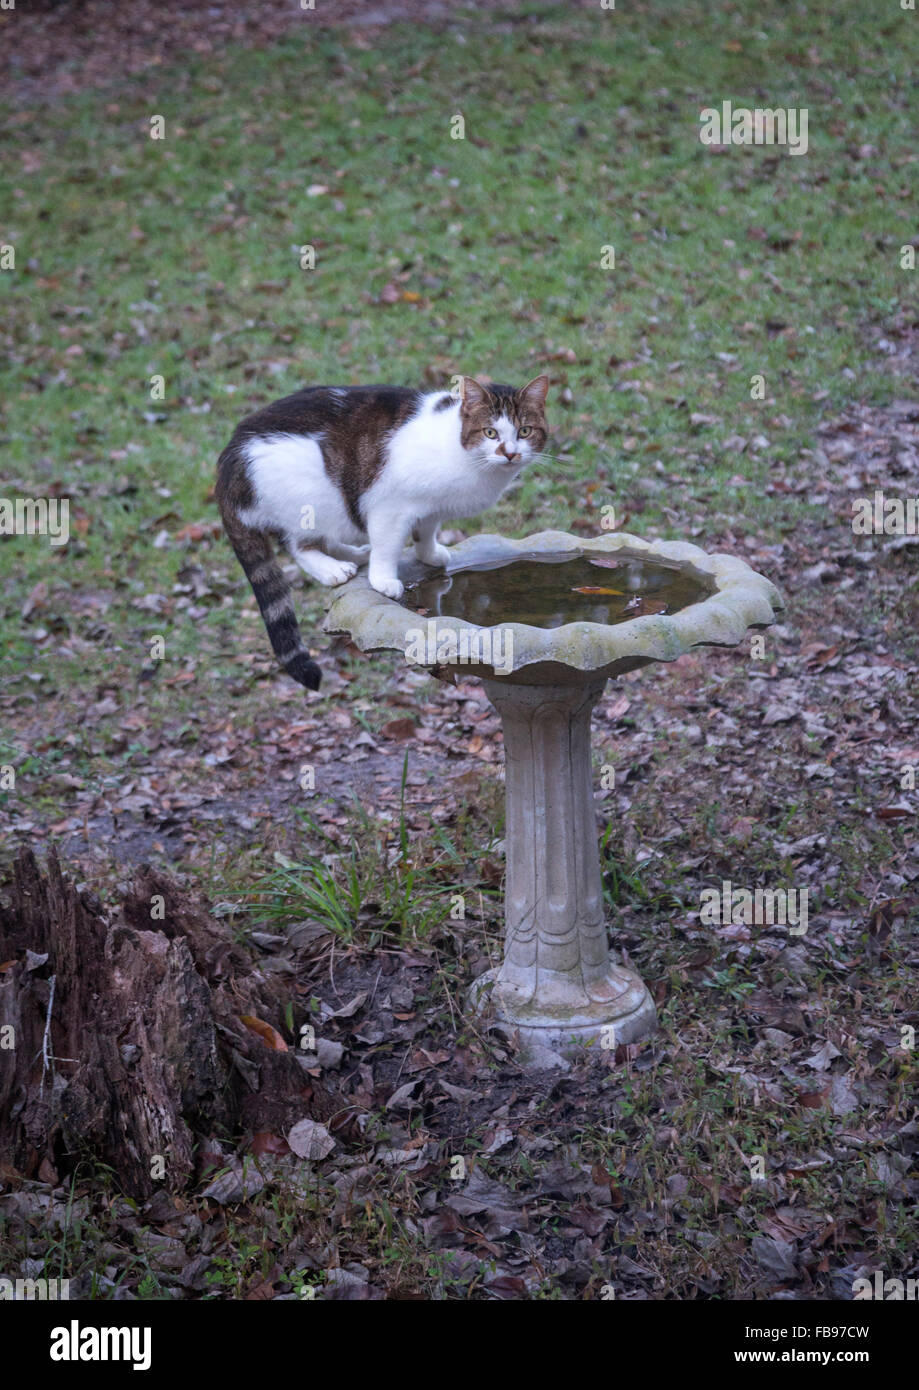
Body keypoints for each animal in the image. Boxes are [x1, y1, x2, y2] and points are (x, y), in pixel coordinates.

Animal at [215, 375, 547, 689]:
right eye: (490, 433)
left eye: (525, 432)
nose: (510, 453)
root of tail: (231, 453)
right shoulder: (389, 506)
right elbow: (388, 545)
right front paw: (384, 580)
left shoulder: (431, 509)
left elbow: (426, 531)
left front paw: (429, 555)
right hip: (310, 496)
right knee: (299, 546)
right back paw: (333, 569)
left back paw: (356, 554)